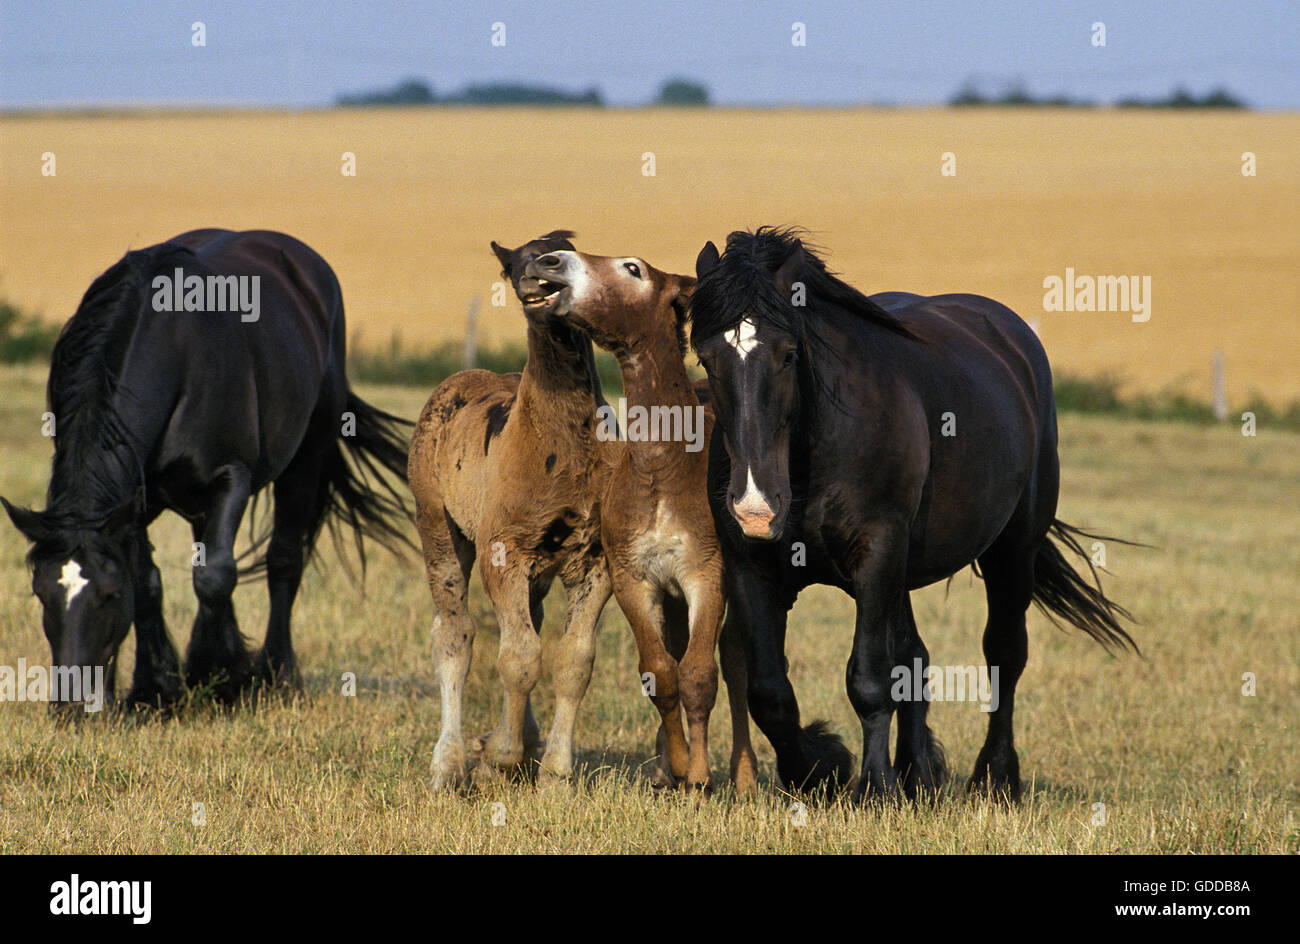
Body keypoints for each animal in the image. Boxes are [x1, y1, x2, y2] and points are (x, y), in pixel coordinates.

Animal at [2, 229, 412, 712]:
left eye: (107, 595)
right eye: (41, 593)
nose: (70, 706)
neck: (173, 354)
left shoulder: (230, 478)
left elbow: (215, 576)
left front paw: (216, 676)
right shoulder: (135, 501)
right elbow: (151, 583)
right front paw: (155, 690)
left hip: (306, 458)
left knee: (283, 560)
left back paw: (278, 674)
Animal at [408, 231, 619, 790]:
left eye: (567, 251)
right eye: (512, 264)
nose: (538, 275)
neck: (560, 445)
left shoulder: (594, 563)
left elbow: (572, 661)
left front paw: (554, 773)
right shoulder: (503, 554)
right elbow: (520, 658)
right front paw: (498, 757)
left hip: (538, 571)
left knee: (526, 624)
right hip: (439, 531)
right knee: (455, 634)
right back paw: (449, 763)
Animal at [523, 247, 757, 793]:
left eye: (633, 269)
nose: (549, 260)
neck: (663, 467)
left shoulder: (707, 577)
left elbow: (699, 676)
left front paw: (699, 777)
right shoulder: (635, 580)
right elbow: (661, 672)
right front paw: (678, 766)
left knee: (736, 665)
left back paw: (745, 777)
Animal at [689, 226, 1136, 801]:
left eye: (789, 355)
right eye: (705, 359)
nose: (755, 506)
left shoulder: (877, 552)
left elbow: (870, 678)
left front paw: (875, 787)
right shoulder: (751, 564)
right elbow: (771, 691)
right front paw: (819, 767)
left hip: (1012, 550)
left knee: (1004, 654)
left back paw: (993, 776)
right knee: (915, 657)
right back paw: (918, 773)